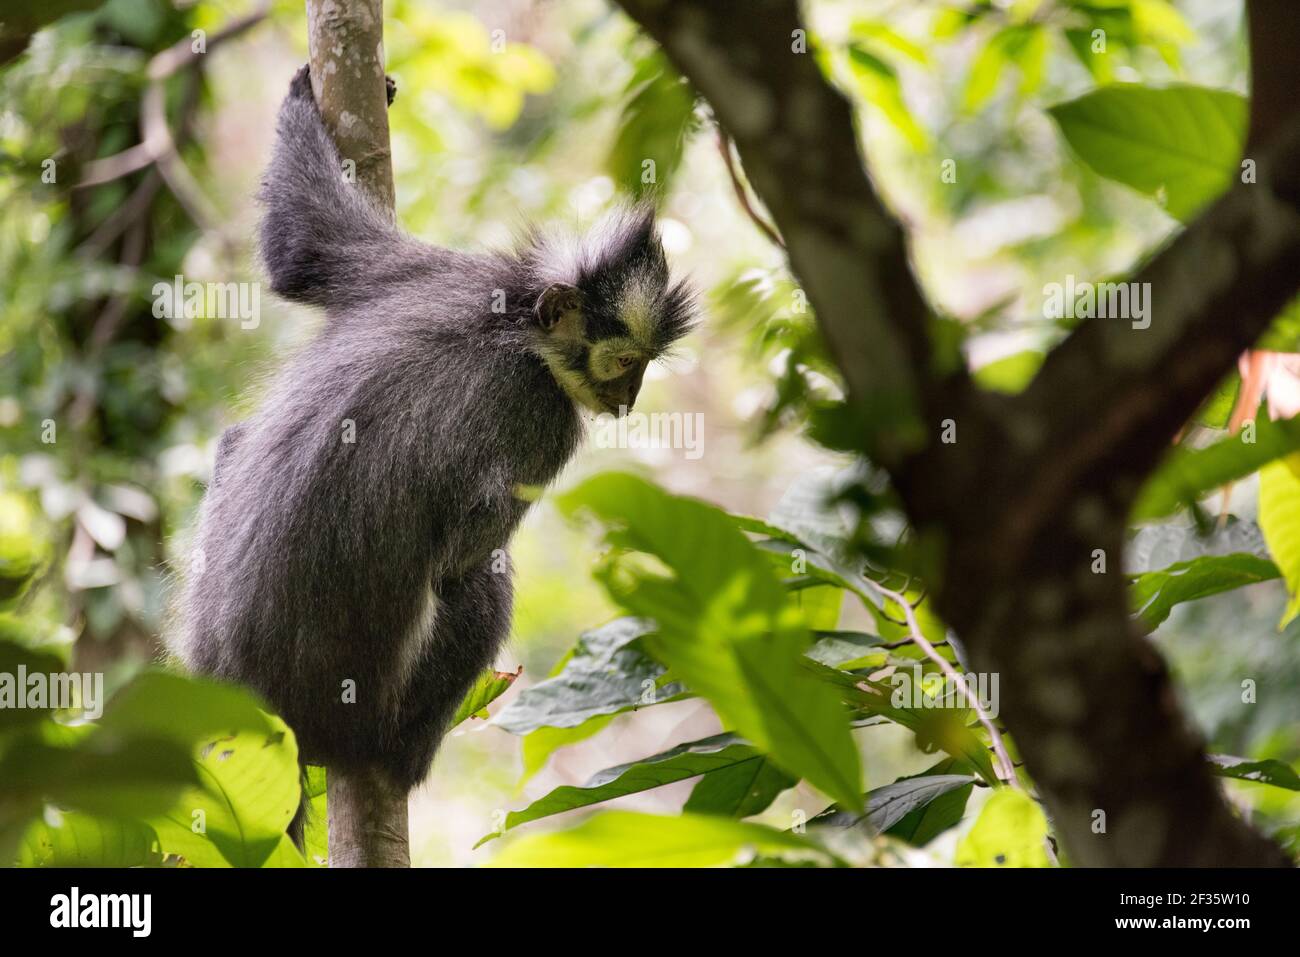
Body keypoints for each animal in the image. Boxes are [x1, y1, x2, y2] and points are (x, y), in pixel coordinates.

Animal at [170, 65, 695, 839]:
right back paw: (403, 758)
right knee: (481, 581)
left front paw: (302, 92)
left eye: (644, 368)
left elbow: (303, 252)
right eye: (625, 363)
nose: (629, 398)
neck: (509, 326)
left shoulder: (440, 270)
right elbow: (461, 557)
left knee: (236, 441)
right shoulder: (543, 420)